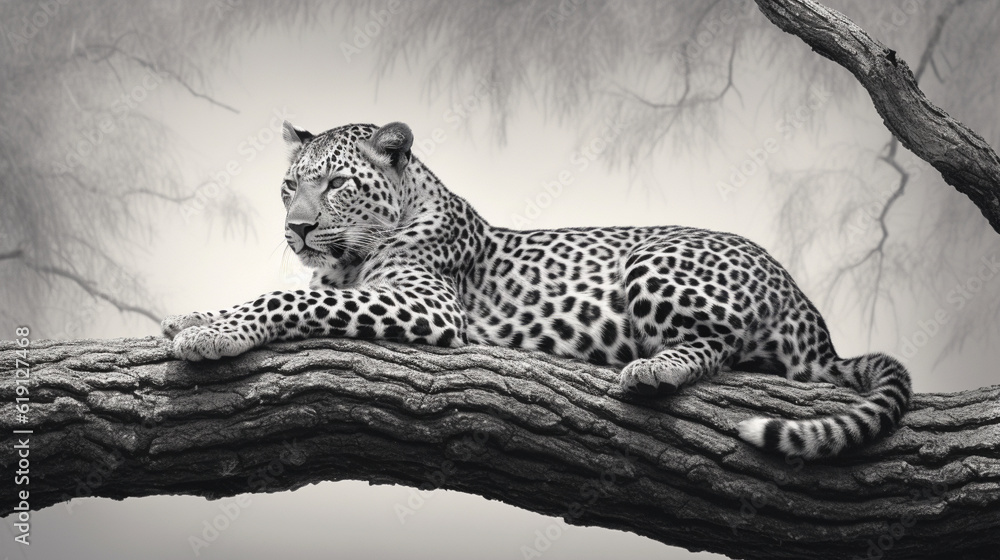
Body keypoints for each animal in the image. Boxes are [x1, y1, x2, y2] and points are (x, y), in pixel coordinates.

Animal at [162, 121, 911, 459]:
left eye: (337, 183)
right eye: (289, 187)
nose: (296, 228)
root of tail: (811, 314)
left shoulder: (426, 305)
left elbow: (295, 299)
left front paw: (214, 332)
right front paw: (193, 316)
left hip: (653, 262)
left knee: (720, 347)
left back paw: (653, 369)